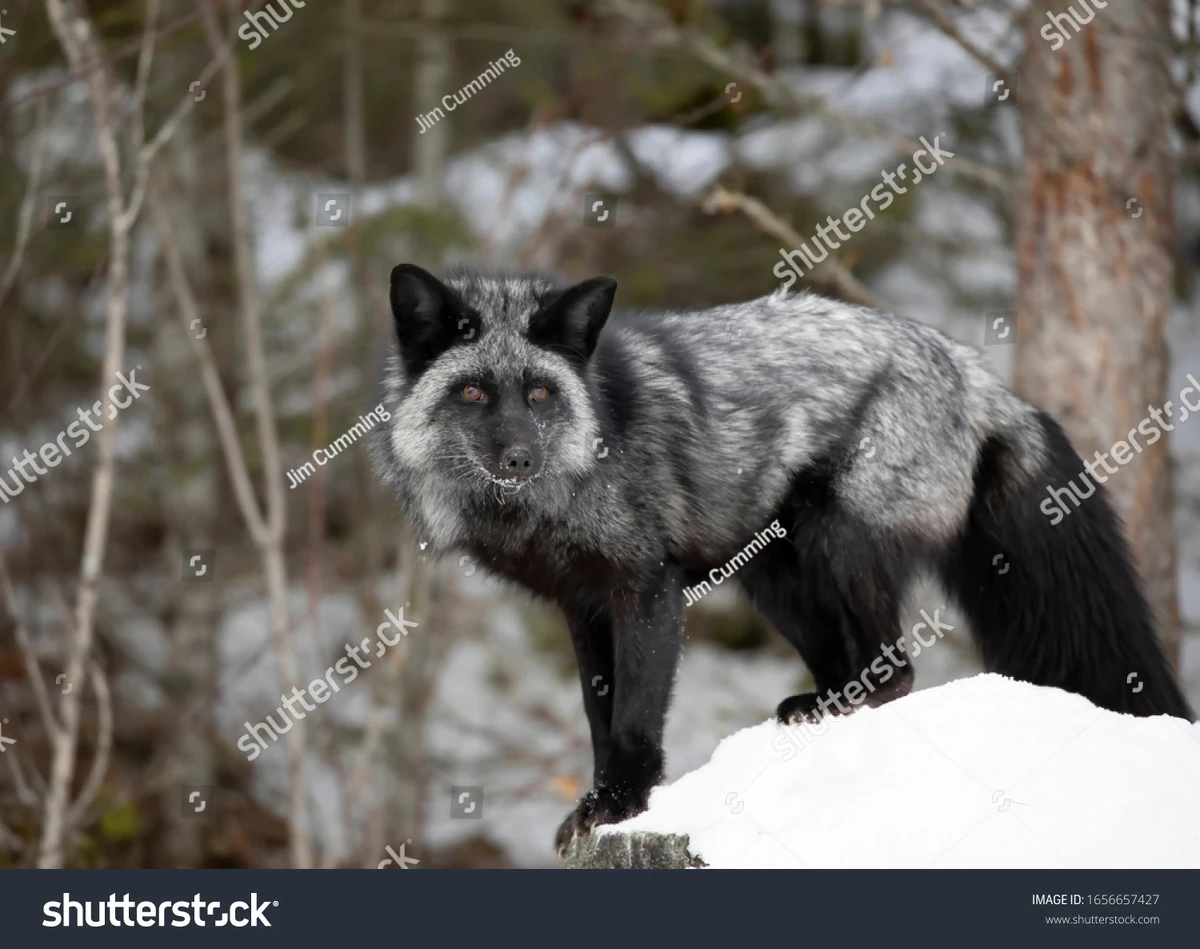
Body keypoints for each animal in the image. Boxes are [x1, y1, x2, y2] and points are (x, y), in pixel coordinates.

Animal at [373, 263, 1194, 857]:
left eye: (540, 394)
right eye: (473, 392)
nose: (518, 457)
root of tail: (975, 372)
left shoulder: (645, 586)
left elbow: (633, 718)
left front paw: (621, 803)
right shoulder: (582, 605)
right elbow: (597, 717)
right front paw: (601, 806)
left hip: (839, 543)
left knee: (896, 671)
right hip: (776, 578)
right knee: (850, 663)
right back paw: (816, 710)